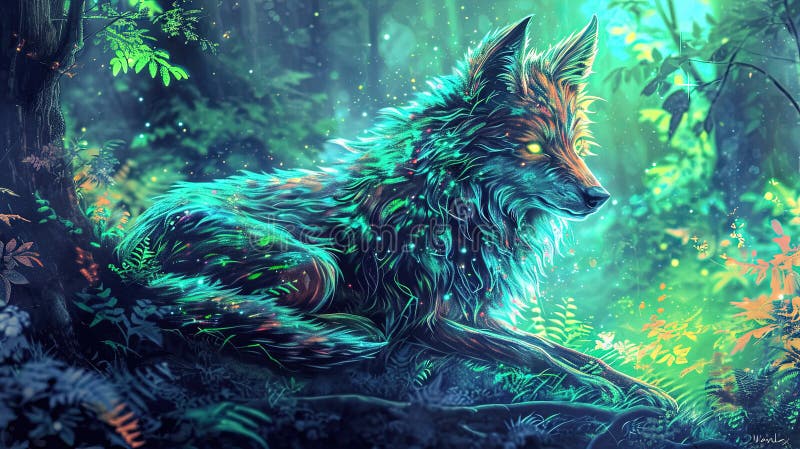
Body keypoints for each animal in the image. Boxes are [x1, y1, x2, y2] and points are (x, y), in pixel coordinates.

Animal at [116, 16, 674, 408]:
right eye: (535, 148)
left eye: (574, 144)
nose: (599, 196)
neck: (453, 207)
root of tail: (122, 247)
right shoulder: (420, 320)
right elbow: (533, 353)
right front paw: (597, 391)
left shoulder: (471, 311)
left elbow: (569, 351)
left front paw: (643, 391)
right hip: (315, 267)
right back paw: (347, 327)